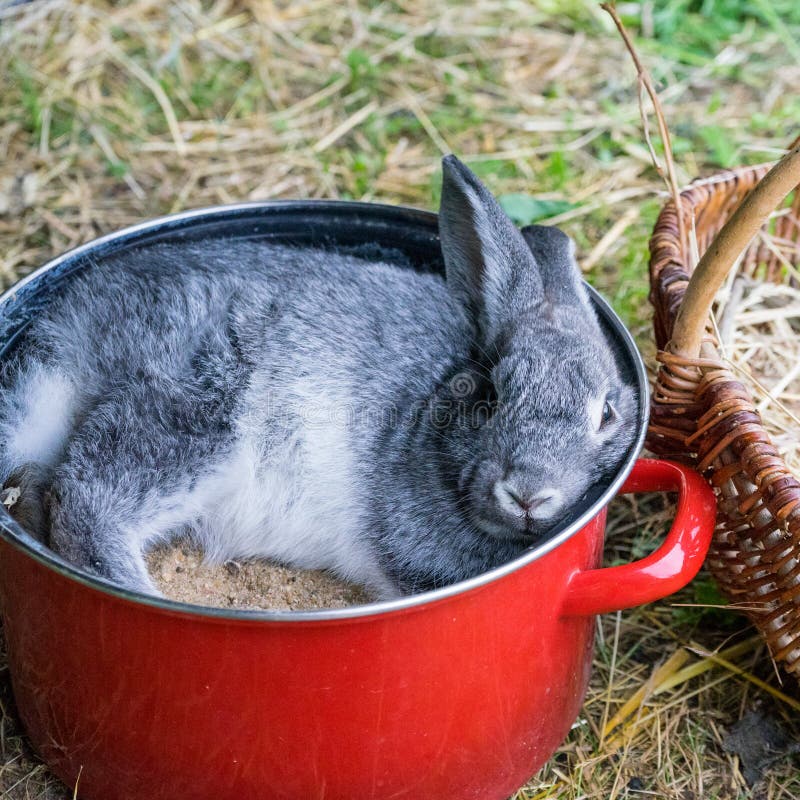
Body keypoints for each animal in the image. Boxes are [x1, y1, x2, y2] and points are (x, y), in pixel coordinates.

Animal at [0, 155, 638, 599]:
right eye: (490, 393)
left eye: (607, 412)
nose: (529, 492)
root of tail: (69, 332)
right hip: (197, 410)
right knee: (87, 504)